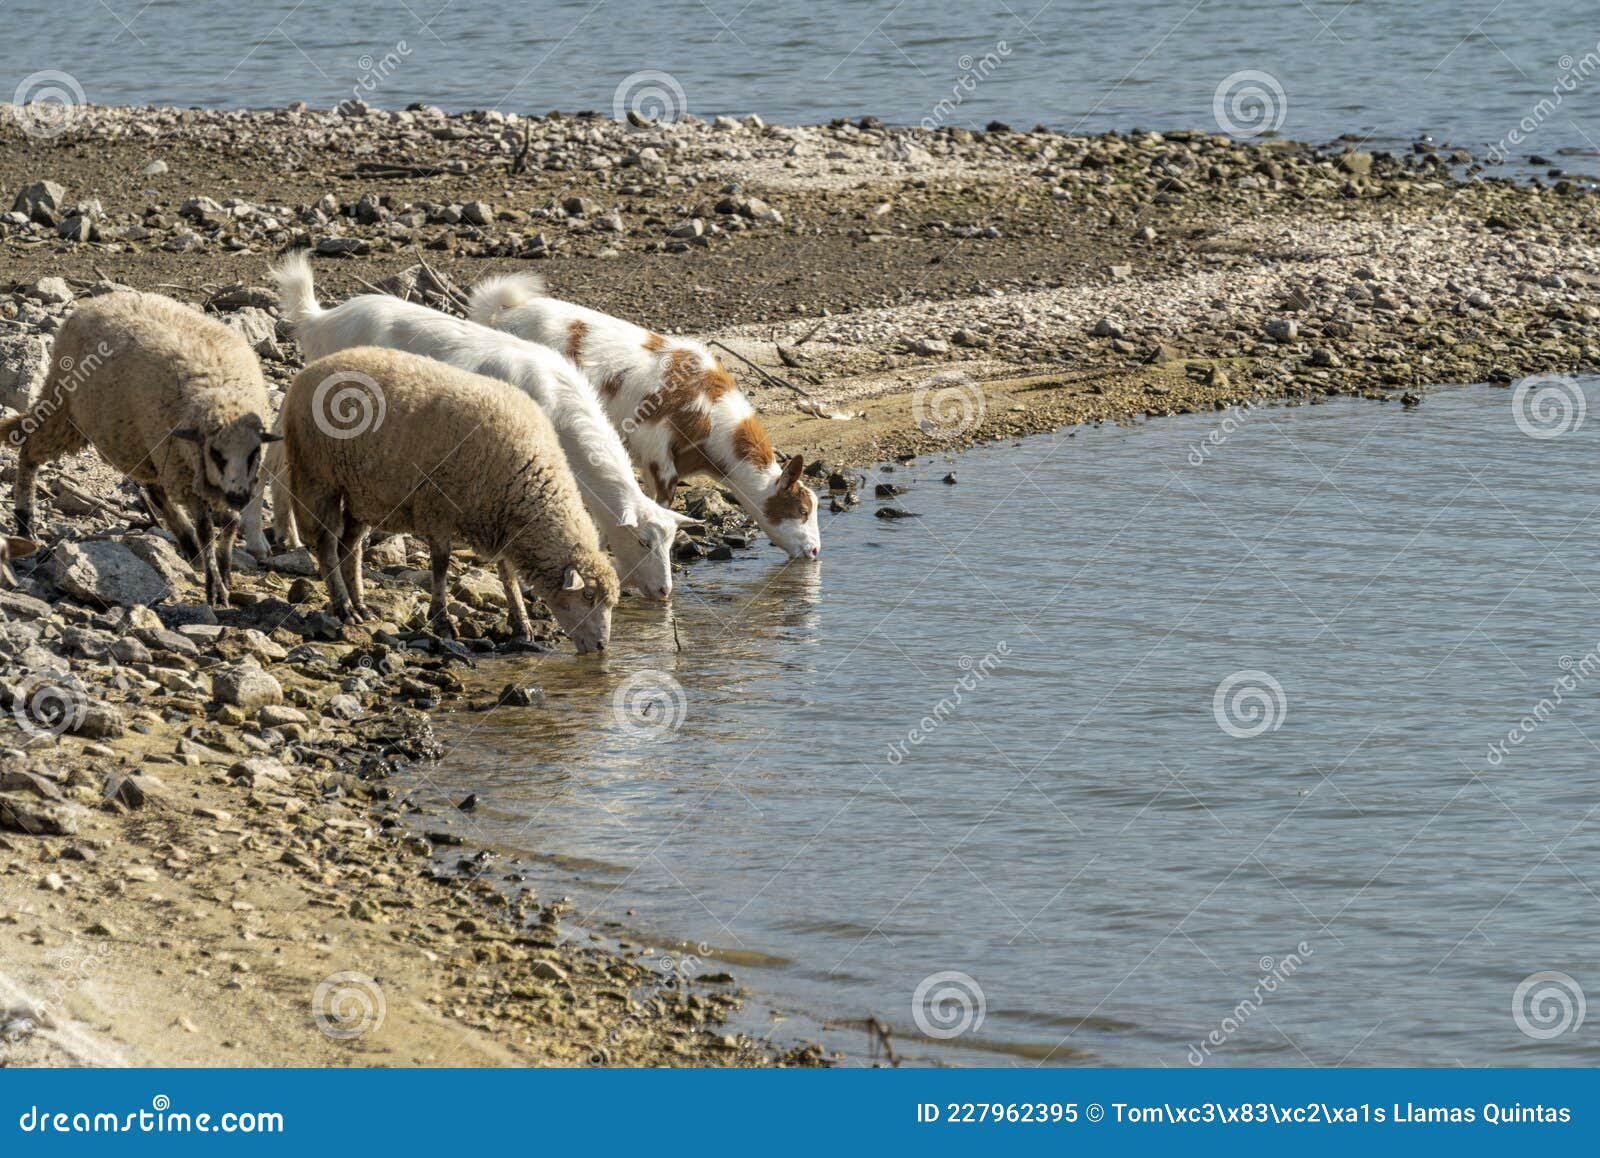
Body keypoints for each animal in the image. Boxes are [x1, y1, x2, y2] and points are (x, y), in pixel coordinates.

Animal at [0, 292, 279, 607]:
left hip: (136, 443)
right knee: (29, 448)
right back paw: (25, 521)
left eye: (254, 454)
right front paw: (216, 586)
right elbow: (208, 529)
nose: (238, 496)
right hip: (73, 412)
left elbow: (231, 522)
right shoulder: (187, 475)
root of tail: (97, 300)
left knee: (154, 490)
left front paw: (224, 567)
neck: (219, 390)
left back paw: (187, 541)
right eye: (216, 454)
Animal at [246, 251, 694, 598]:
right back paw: (260, 541)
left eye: (671, 542)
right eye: (642, 540)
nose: (664, 592)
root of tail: (319, 319)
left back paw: (288, 535)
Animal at [280, 345, 619, 652]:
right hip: (317, 475)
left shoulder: (500, 520)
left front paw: (521, 625)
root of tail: (307, 372)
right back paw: (344, 607)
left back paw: (360, 605)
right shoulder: (438, 508)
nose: (602, 645)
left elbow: (507, 574)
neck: (526, 476)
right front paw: (442, 620)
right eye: (588, 596)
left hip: (362, 493)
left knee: (350, 547)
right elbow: (441, 566)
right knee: (327, 547)